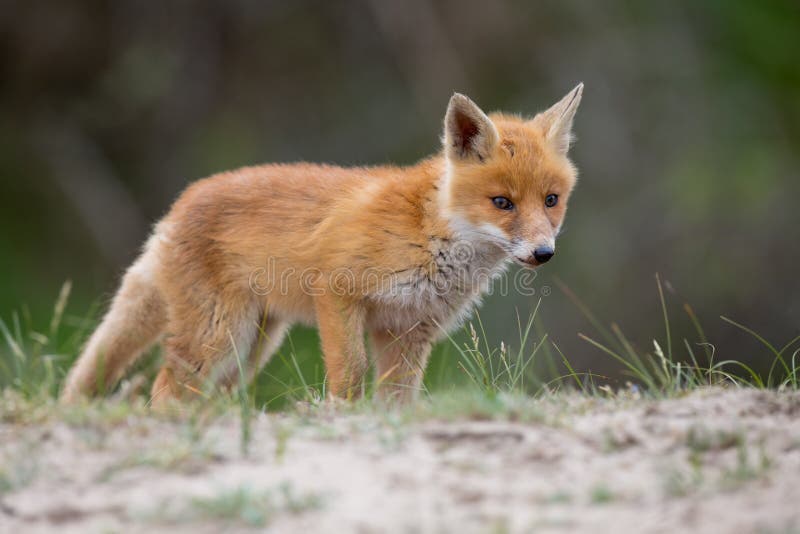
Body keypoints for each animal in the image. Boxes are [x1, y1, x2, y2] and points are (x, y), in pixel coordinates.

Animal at [61, 84, 583, 406]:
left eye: (551, 200)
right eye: (502, 203)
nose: (543, 253)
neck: (428, 235)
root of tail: (178, 205)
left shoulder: (408, 330)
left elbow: (398, 397)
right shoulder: (338, 293)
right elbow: (350, 374)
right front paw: (342, 416)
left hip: (252, 343)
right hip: (220, 334)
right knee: (165, 388)